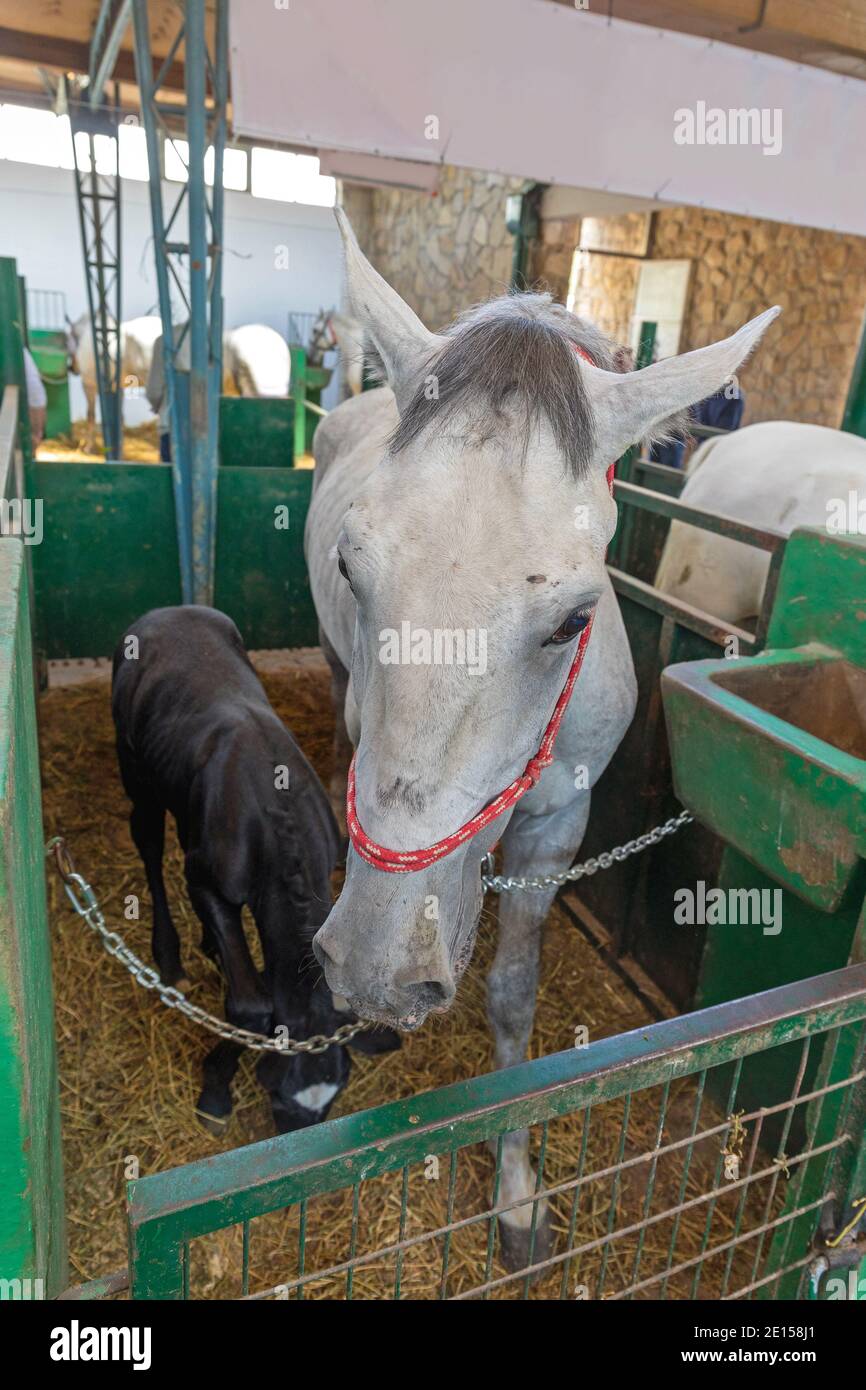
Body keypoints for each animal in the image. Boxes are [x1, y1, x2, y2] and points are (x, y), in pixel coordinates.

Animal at [304, 207, 779, 1267]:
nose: (378, 967)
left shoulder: (561, 820)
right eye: (352, 566)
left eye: (573, 620)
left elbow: (515, 995)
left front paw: (517, 1192)